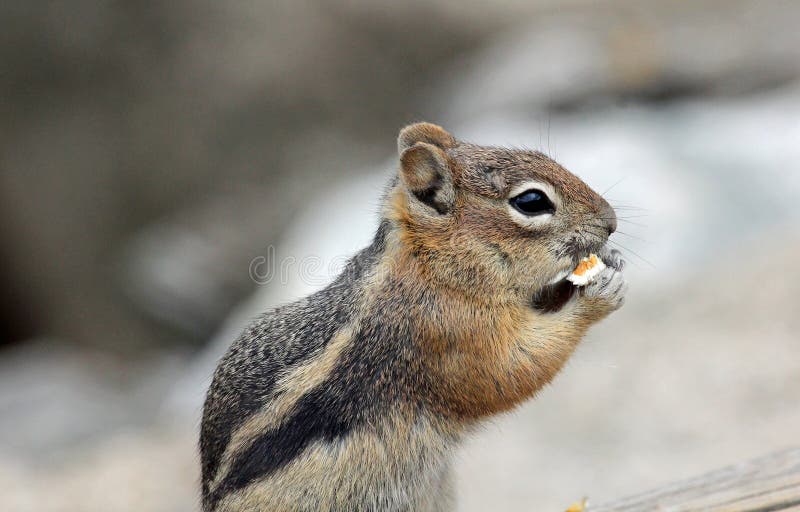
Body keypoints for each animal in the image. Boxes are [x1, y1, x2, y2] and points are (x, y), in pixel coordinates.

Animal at [200, 122, 627, 511]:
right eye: (532, 201)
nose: (611, 222)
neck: (429, 266)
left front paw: (608, 262)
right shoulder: (447, 335)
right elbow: (514, 369)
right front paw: (596, 299)